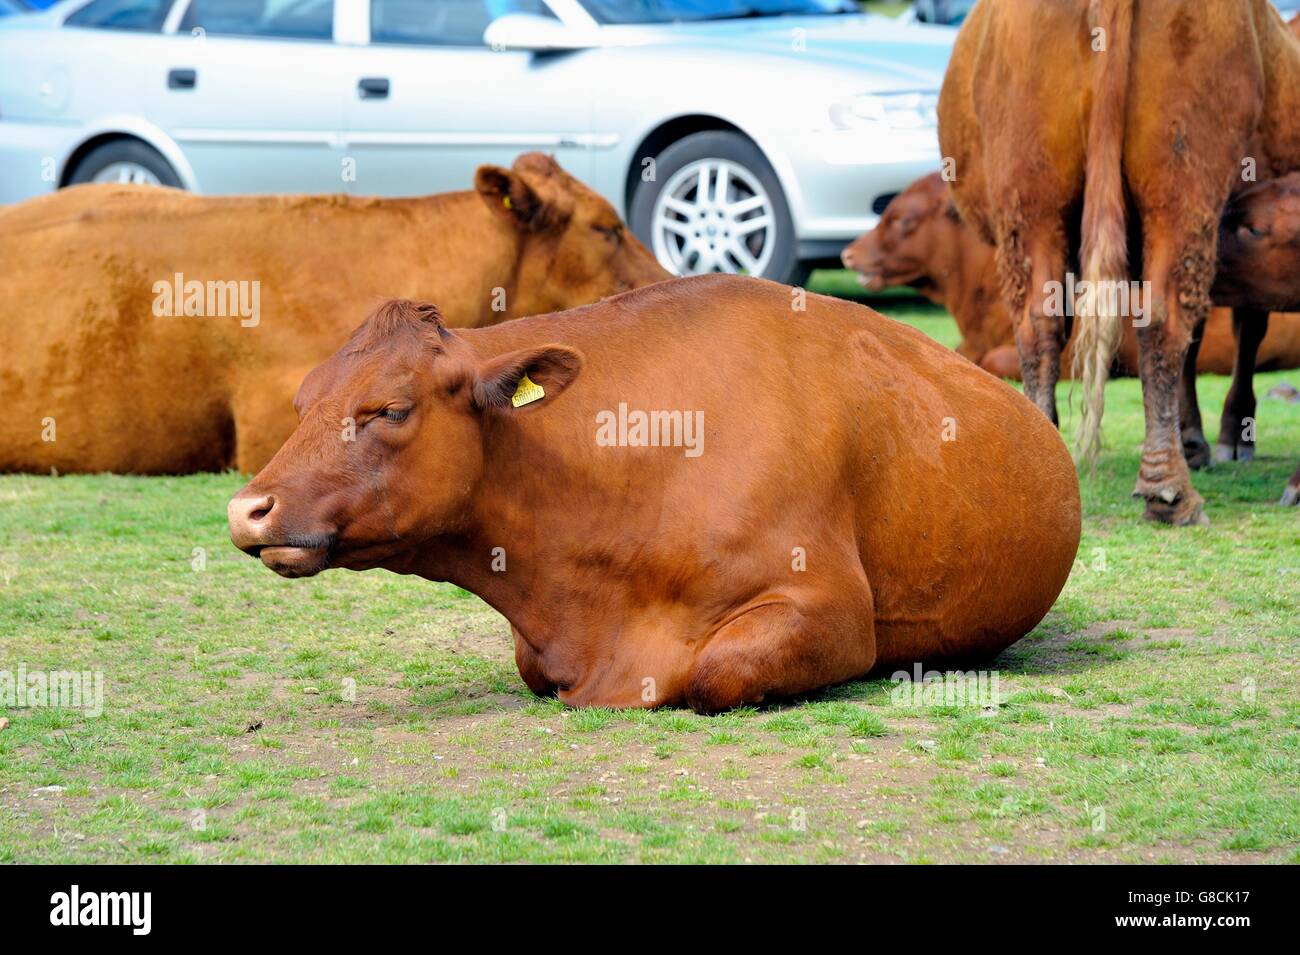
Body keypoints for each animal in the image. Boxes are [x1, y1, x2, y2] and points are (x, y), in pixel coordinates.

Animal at [938, 0, 1300, 525]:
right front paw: (1217, 436)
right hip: (1180, 189)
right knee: (1166, 321)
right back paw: (1170, 490)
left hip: (1033, 198)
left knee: (1043, 323)